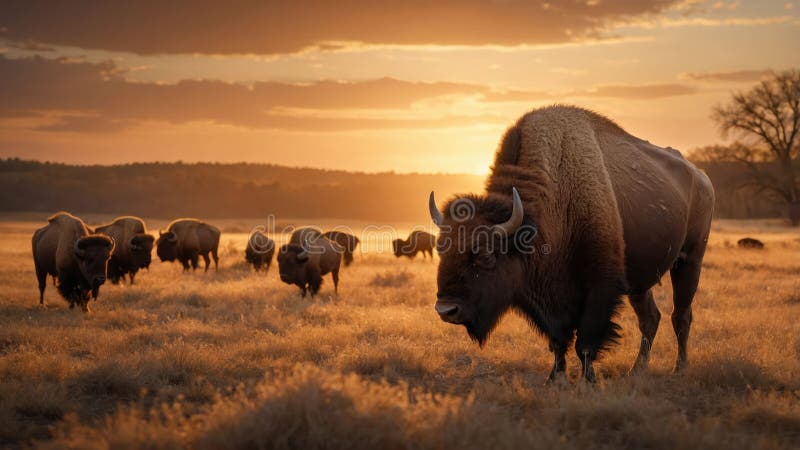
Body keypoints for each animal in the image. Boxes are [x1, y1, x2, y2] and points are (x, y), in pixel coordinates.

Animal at [429, 106, 714, 382]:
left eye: (486, 256)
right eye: (441, 249)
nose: (446, 309)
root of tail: (701, 177)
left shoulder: (600, 287)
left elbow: (585, 343)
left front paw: (588, 382)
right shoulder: (549, 298)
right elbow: (558, 340)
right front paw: (555, 378)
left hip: (690, 260)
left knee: (681, 315)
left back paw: (680, 369)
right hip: (640, 281)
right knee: (650, 318)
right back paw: (637, 370)